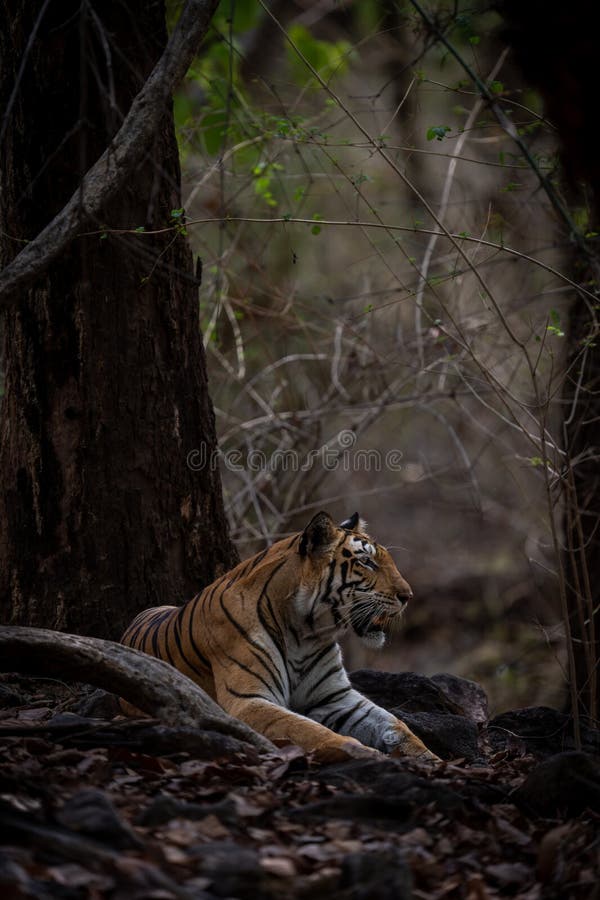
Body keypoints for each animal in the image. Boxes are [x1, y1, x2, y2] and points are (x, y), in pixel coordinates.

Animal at [120, 511, 437, 762]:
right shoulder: (249, 700)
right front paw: (362, 752)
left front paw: (432, 760)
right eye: (367, 563)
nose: (408, 596)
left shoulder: (335, 697)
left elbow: (397, 725)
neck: (306, 633)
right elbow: (306, 729)